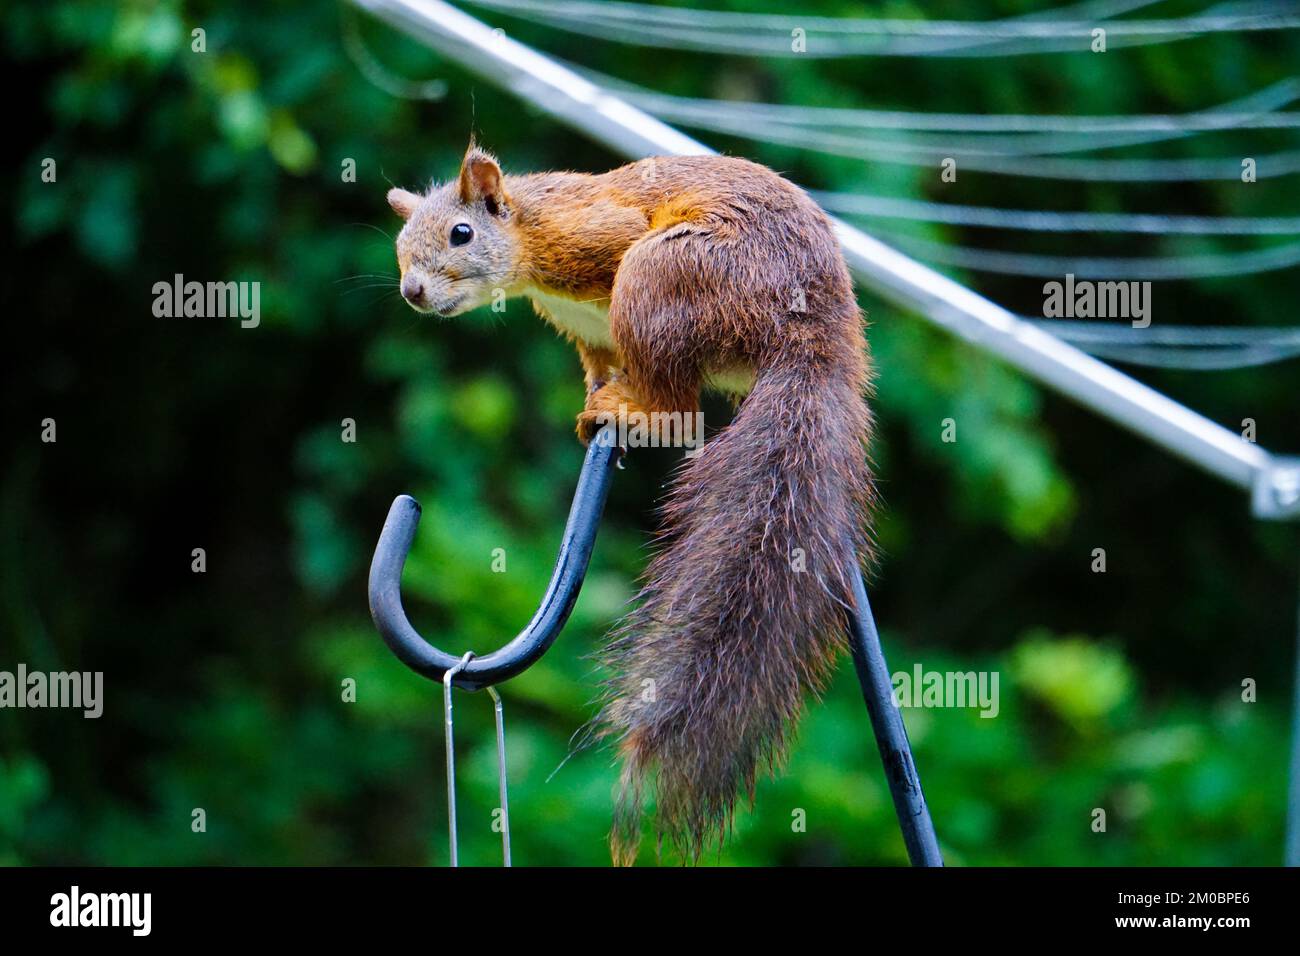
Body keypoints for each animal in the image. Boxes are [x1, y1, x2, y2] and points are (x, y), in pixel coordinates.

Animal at [387, 141, 874, 864]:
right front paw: (591, 403)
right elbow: (596, 366)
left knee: (676, 402)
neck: (531, 243)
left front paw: (609, 405)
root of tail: (815, 335)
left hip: (665, 275)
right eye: (399, 245)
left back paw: (634, 410)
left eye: (462, 233)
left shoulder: (599, 234)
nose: (412, 292)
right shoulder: (589, 334)